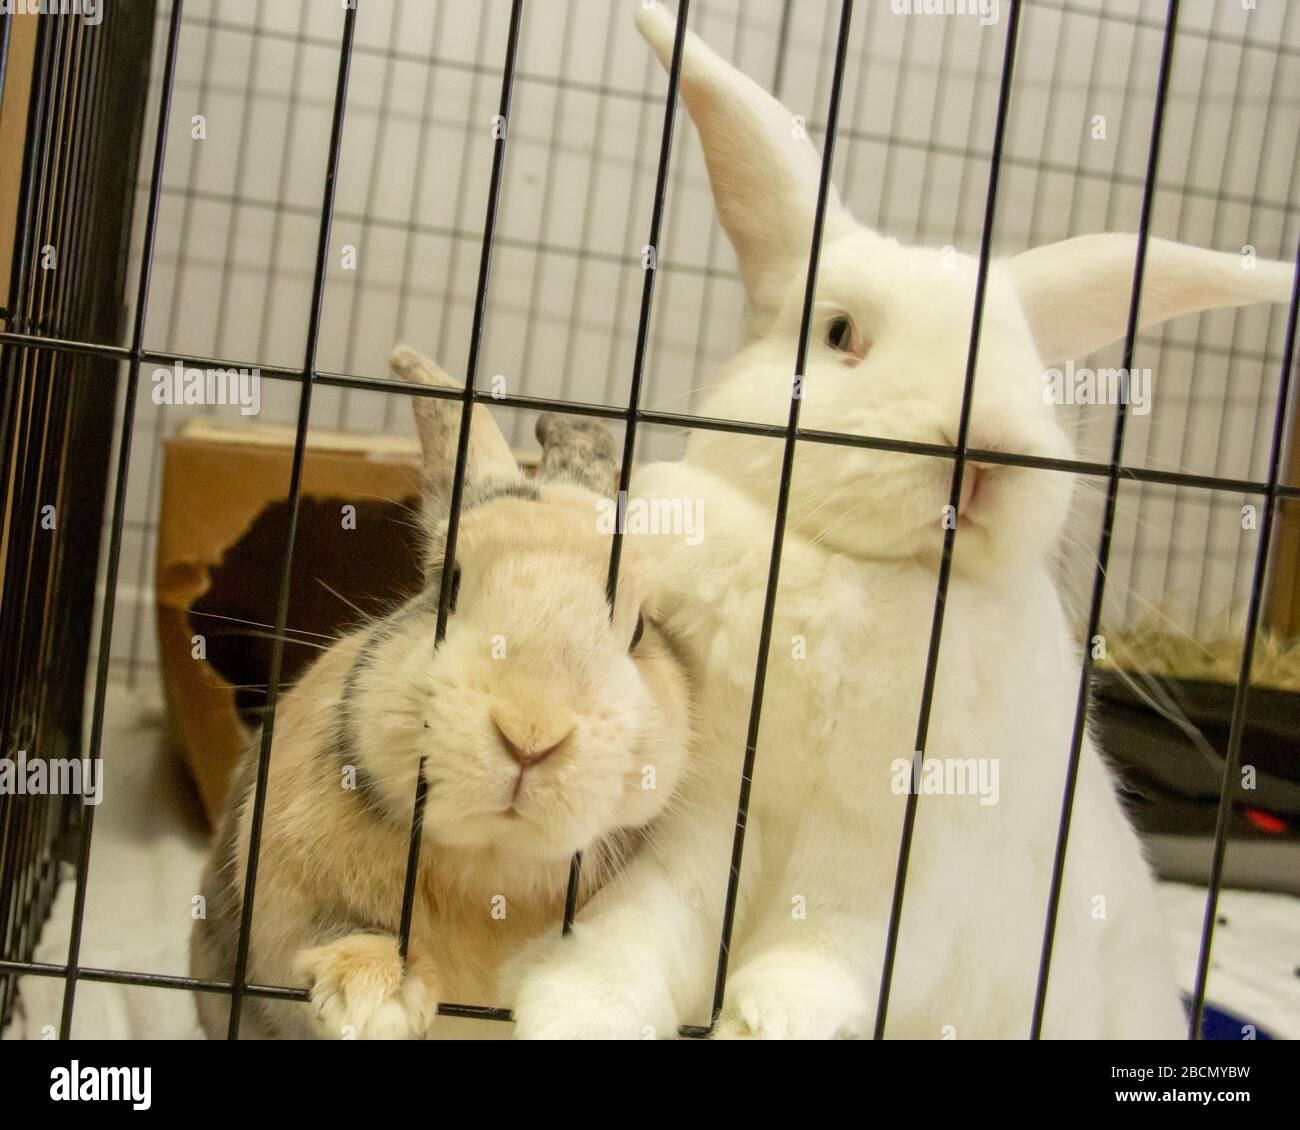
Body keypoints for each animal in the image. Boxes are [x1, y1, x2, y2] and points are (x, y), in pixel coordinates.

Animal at [190, 344, 691, 1039]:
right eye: (446, 585)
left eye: (641, 627)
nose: (530, 735)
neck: (488, 868)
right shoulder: (281, 904)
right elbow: (333, 934)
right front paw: (369, 996)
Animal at [504, 4, 1297, 1040]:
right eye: (842, 334)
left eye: (1031, 364)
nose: (990, 449)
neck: (857, 572)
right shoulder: (709, 815)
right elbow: (649, 919)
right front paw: (574, 1004)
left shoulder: (899, 866)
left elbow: (828, 951)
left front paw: (773, 1020)